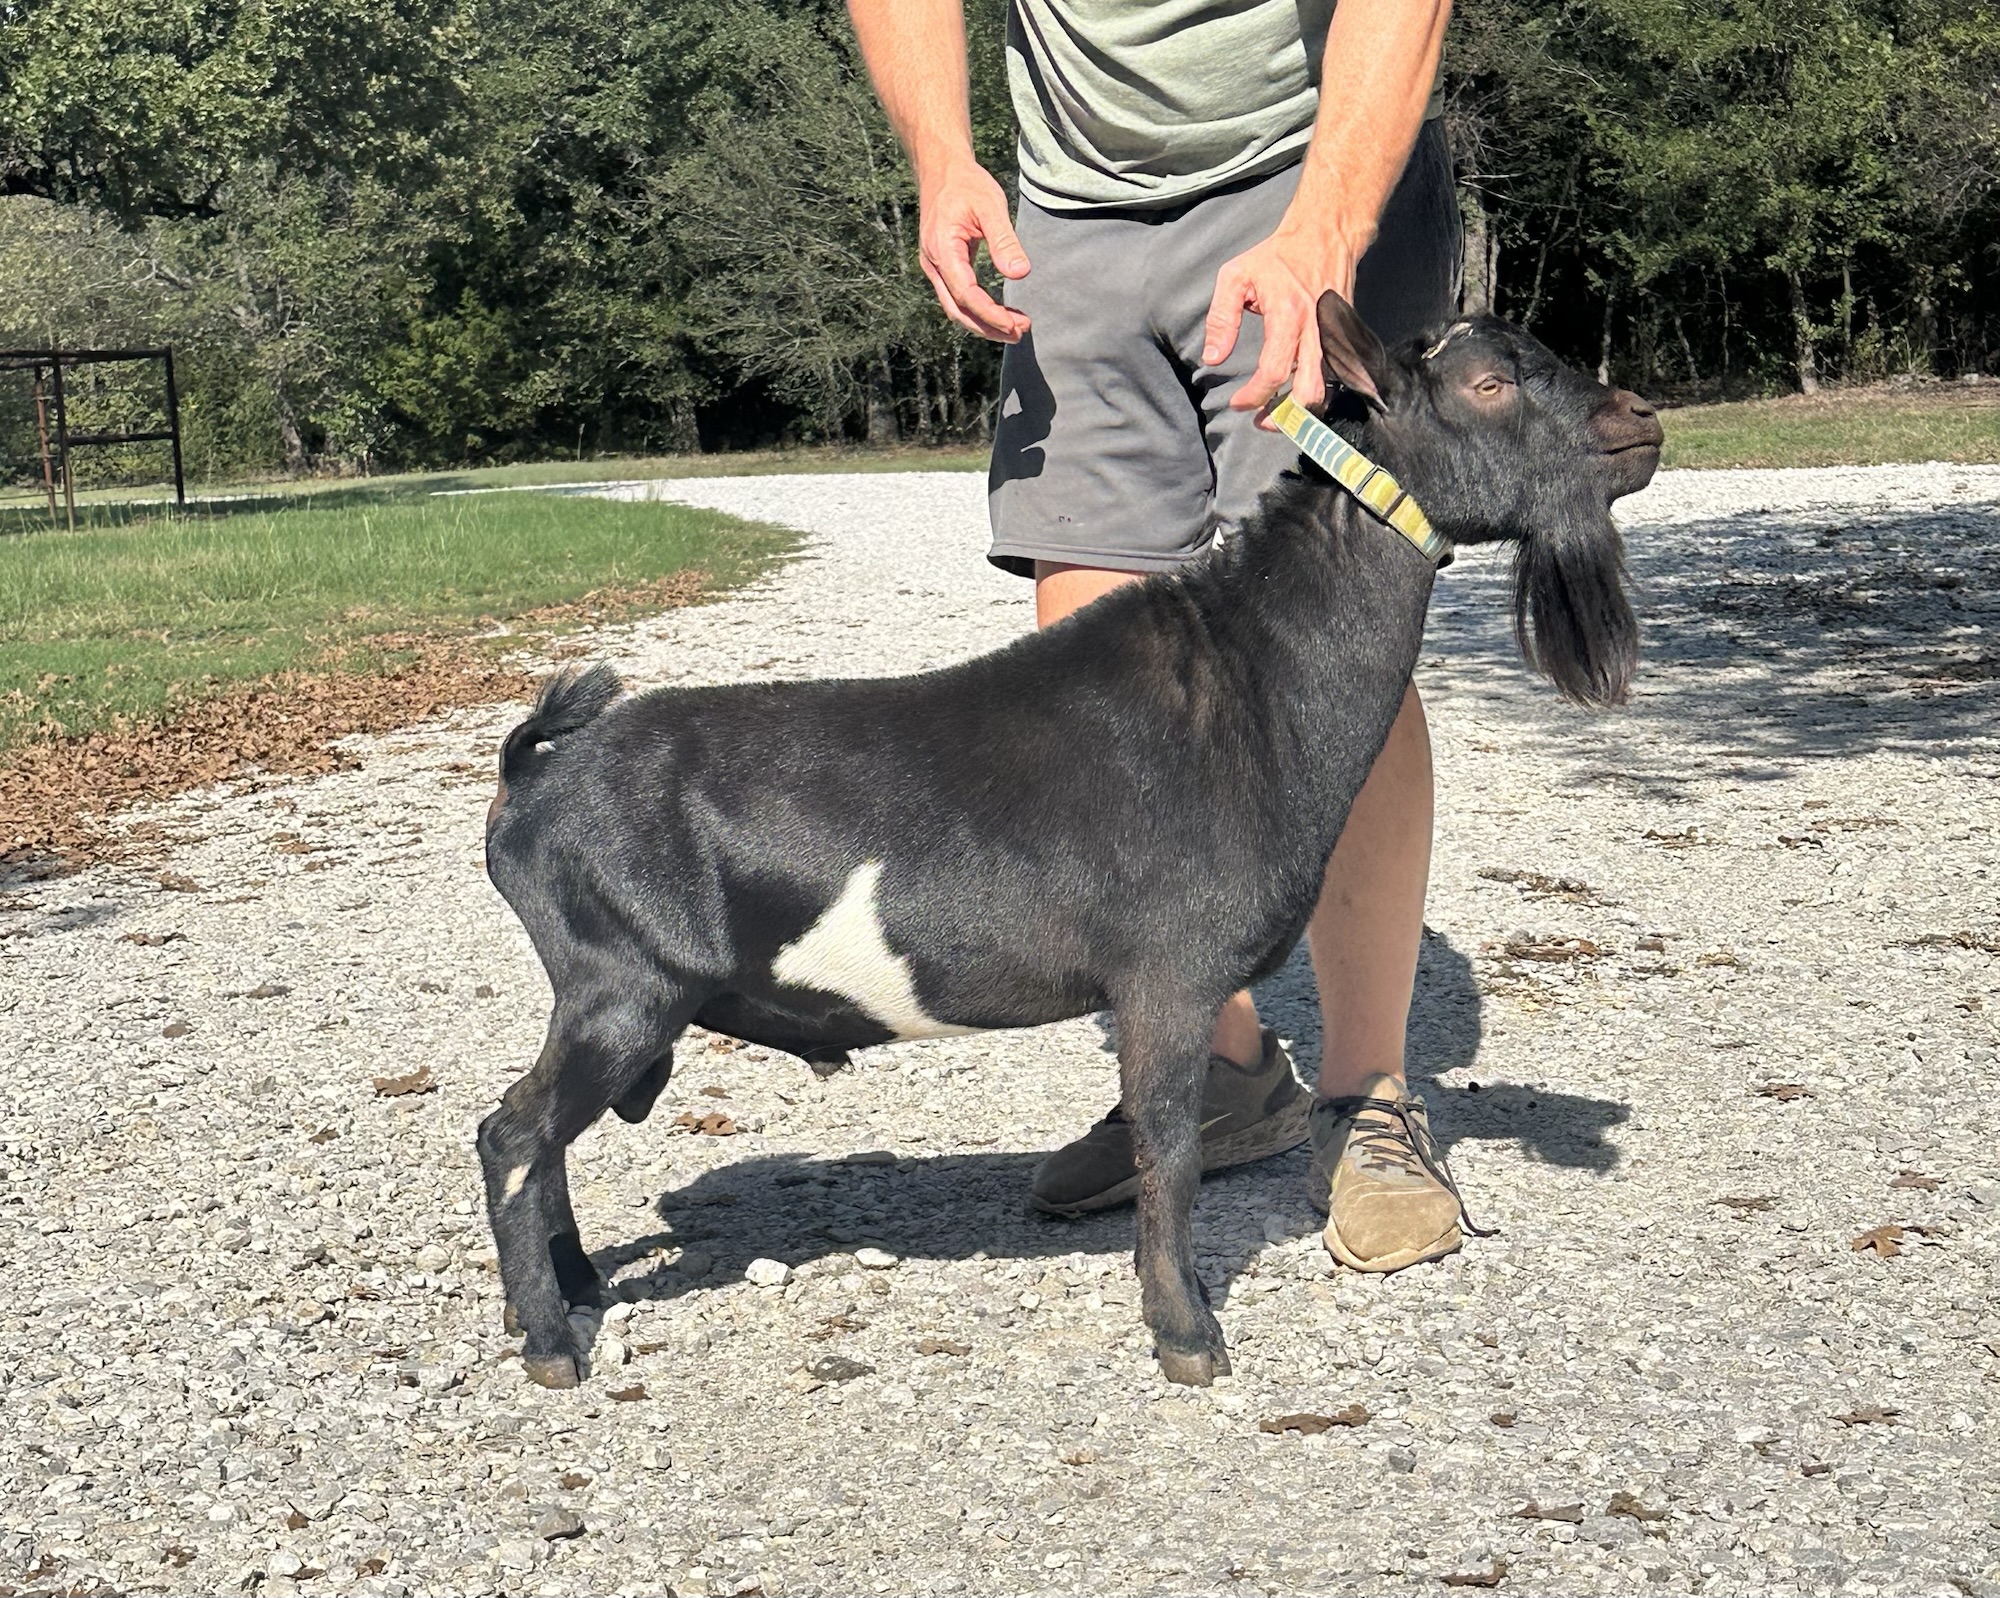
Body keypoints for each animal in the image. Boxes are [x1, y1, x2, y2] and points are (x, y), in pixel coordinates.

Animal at [476, 294, 1663, 1390]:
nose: (1642, 417)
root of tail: (533, 778)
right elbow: (1167, 1152)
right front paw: (1185, 1332)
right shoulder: (1167, 977)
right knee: (515, 1137)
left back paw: (577, 1292)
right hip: (622, 982)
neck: (1251, 681)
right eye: (1489, 385)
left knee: (541, 1139)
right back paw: (550, 1342)